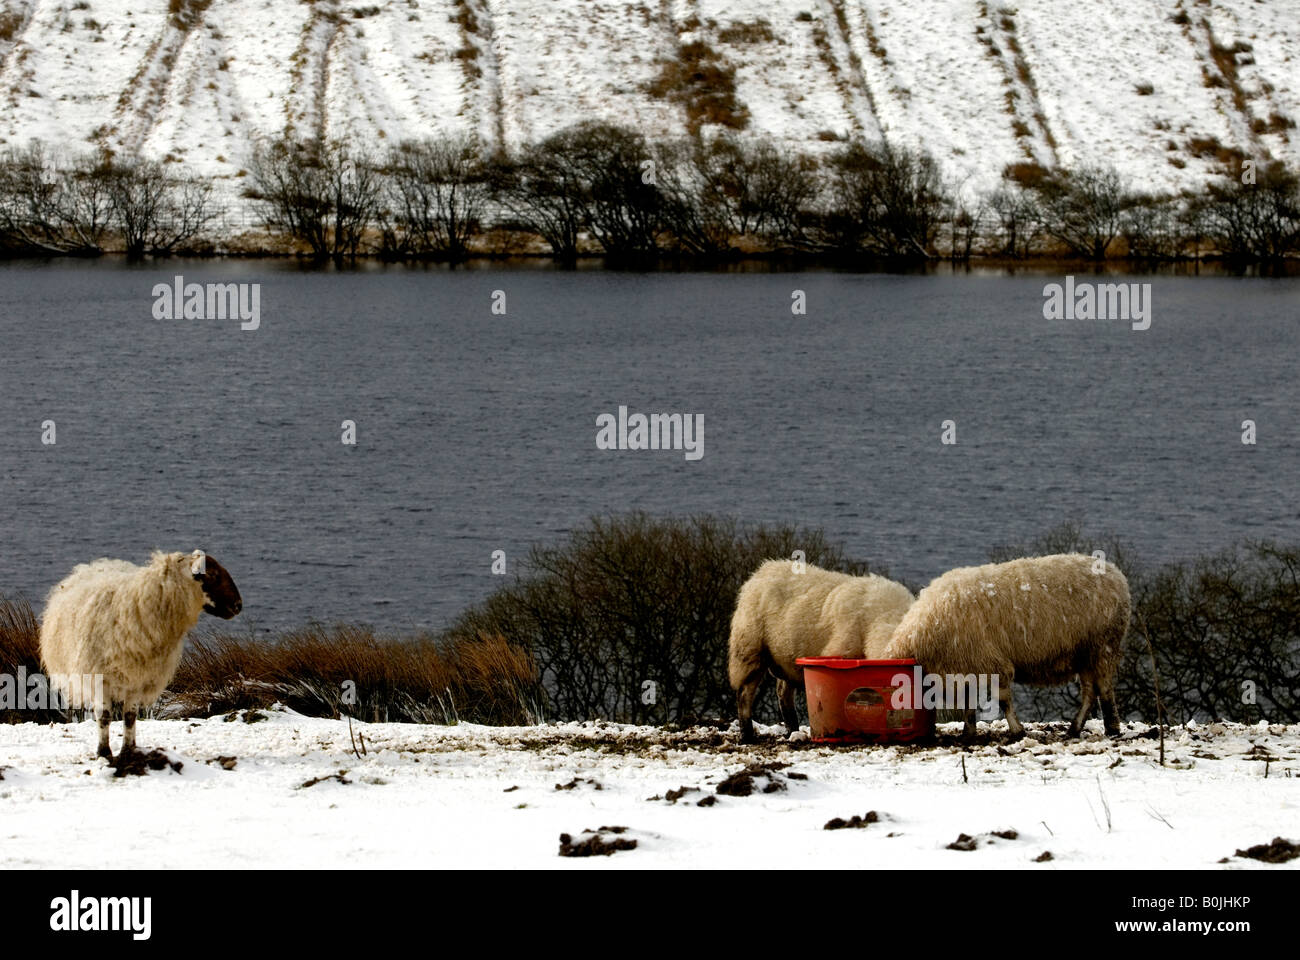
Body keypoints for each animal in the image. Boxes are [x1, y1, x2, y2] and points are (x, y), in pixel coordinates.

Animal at [39, 550, 242, 759]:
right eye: (213, 574)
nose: (238, 605)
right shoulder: (98, 678)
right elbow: (104, 716)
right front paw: (104, 753)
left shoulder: (139, 677)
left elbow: (130, 717)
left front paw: (128, 750)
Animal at [728, 559, 915, 742]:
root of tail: (762, 570)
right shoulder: (839, 652)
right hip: (749, 648)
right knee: (744, 694)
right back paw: (747, 734)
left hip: (786, 657)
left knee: (783, 693)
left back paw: (792, 730)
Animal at [884, 554, 1129, 739]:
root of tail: (1117, 575)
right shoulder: (965, 666)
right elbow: (968, 704)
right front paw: (968, 733)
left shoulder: (992, 663)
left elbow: (1003, 700)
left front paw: (1017, 731)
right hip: (1085, 654)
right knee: (1090, 692)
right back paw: (1076, 728)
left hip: (1102, 647)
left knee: (1104, 688)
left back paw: (1112, 728)